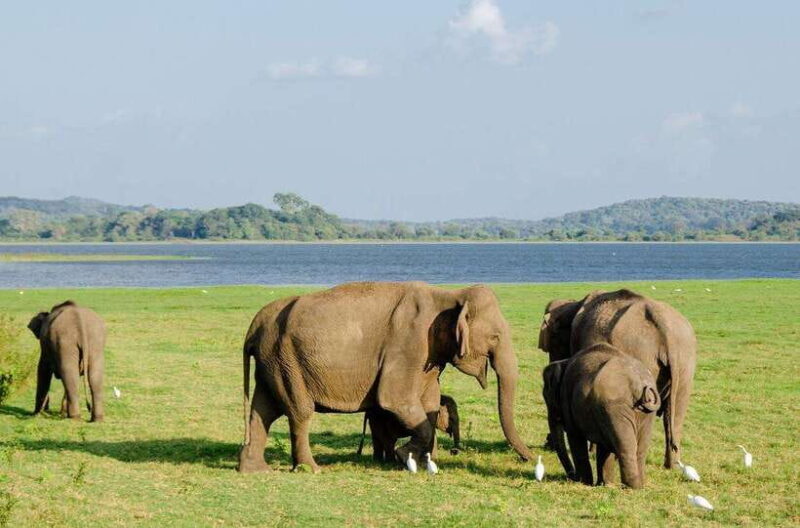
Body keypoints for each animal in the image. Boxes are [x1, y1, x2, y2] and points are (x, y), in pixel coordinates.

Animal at [237, 281, 532, 473]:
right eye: (495, 337)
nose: (530, 458)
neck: (448, 295)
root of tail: (254, 326)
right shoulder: (408, 344)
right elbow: (394, 399)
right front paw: (404, 457)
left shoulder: (428, 356)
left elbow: (429, 403)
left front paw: (422, 462)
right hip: (286, 360)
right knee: (298, 411)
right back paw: (310, 469)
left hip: (272, 362)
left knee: (263, 410)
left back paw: (254, 469)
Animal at [538, 289, 696, 468]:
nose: (547, 444)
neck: (574, 304)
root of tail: (665, 330)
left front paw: (593, 451)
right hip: (685, 360)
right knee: (675, 414)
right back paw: (672, 466)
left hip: (642, 354)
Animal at [542, 343, 661, 488]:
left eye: (547, 398)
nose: (571, 477)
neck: (564, 362)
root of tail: (637, 384)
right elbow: (604, 447)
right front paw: (604, 484)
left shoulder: (567, 398)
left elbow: (575, 437)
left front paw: (585, 482)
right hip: (644, 414)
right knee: (639, 449)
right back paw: (639, 486)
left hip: (615, 407)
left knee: (625, 446)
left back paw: (630, 486)